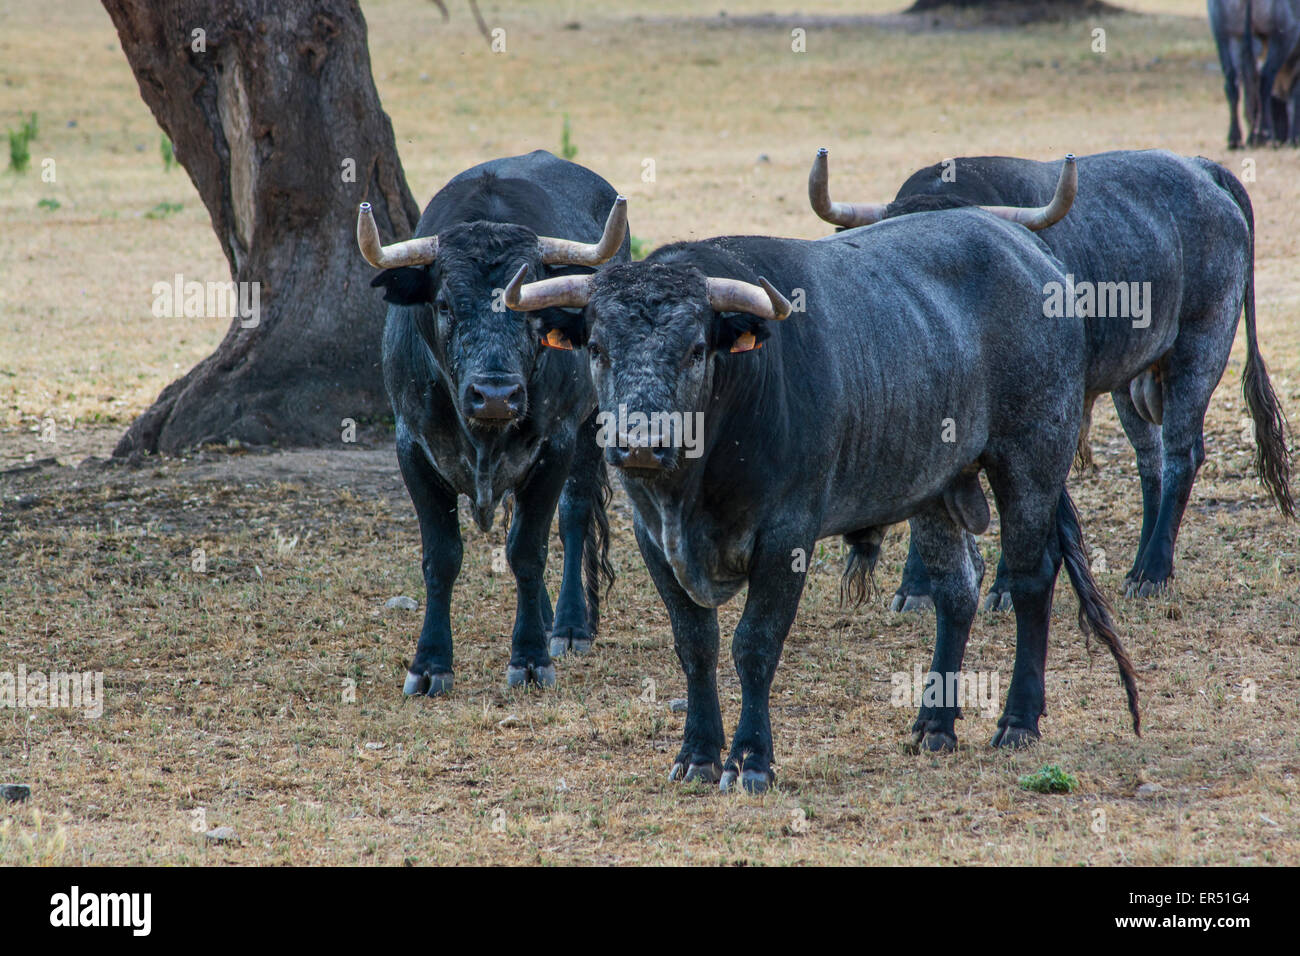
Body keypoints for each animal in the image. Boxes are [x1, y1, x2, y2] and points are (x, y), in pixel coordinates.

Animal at [357, 150, 628, 695]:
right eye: (443, 304)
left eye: (534, 309)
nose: (496, 396)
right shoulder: (412, 447)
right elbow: (442, 556)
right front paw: (430, 664)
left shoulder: (555, 445)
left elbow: (529, 549)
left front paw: (530, 658)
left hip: (591, 424)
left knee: (573, 516)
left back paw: (567, 626)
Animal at [503, 159, 1141, 793]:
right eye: (597, 347)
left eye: (695, 349)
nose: (640, 442)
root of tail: (1034, 255)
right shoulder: (653, 538)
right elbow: (696, 645)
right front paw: (698, 754)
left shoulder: (787, 537)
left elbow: (755, 645)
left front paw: (750, 759)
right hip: (938, 488)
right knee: (957, 590)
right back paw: (934, 724)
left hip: (1033, 462)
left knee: (1033, 579)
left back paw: (1017, 720)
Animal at [810, 147, 1294, 611]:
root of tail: (1201, 169)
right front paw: (918, 586)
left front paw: (1005, 583)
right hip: (1130, 378)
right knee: (1150, 459)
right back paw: (1139, 564)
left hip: (1201, 345)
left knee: (1182, 452)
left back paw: (1154, 571)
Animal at [1209, 0, 1300, 146]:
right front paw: (1294, 138)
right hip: (1281, 35)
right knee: (1265, 81)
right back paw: (1265, 136)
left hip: (1227, 36)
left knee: (1233, 84)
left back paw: (1237, 139)